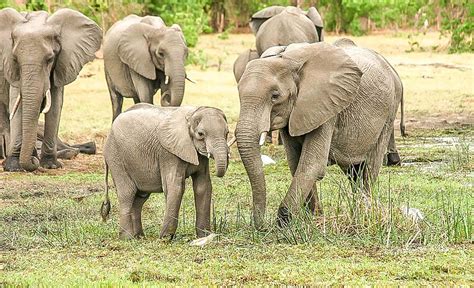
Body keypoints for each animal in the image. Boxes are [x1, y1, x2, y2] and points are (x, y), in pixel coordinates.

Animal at [0, 8, 103, 171]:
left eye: (50, 59)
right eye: (15, 59)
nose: (33, 162)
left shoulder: (62, 62)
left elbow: (55, 105)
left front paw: (50, 165)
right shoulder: (10, 68)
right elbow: (16, 103)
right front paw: (13, 167)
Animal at [102, 103, 231, 238]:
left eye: (227, 133)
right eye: (201, 134)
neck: (192, 114)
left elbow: (203, 187)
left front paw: (204, 236)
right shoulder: (169, 153)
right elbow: (175, 187)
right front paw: (165, 238)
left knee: (139, 198)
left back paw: (139, 237)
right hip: (116, 157)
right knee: (127, 194)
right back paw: (127, 238)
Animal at [234, 41, 404, 230]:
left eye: (275, 96)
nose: (261, 225)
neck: (287, 59)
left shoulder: (327, 106)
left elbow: (312, 164)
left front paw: (284, 223)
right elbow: (296, 163)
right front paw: (314, 217)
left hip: (390, 110)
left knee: (370, 166)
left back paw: (365, 211)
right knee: (354, 170)